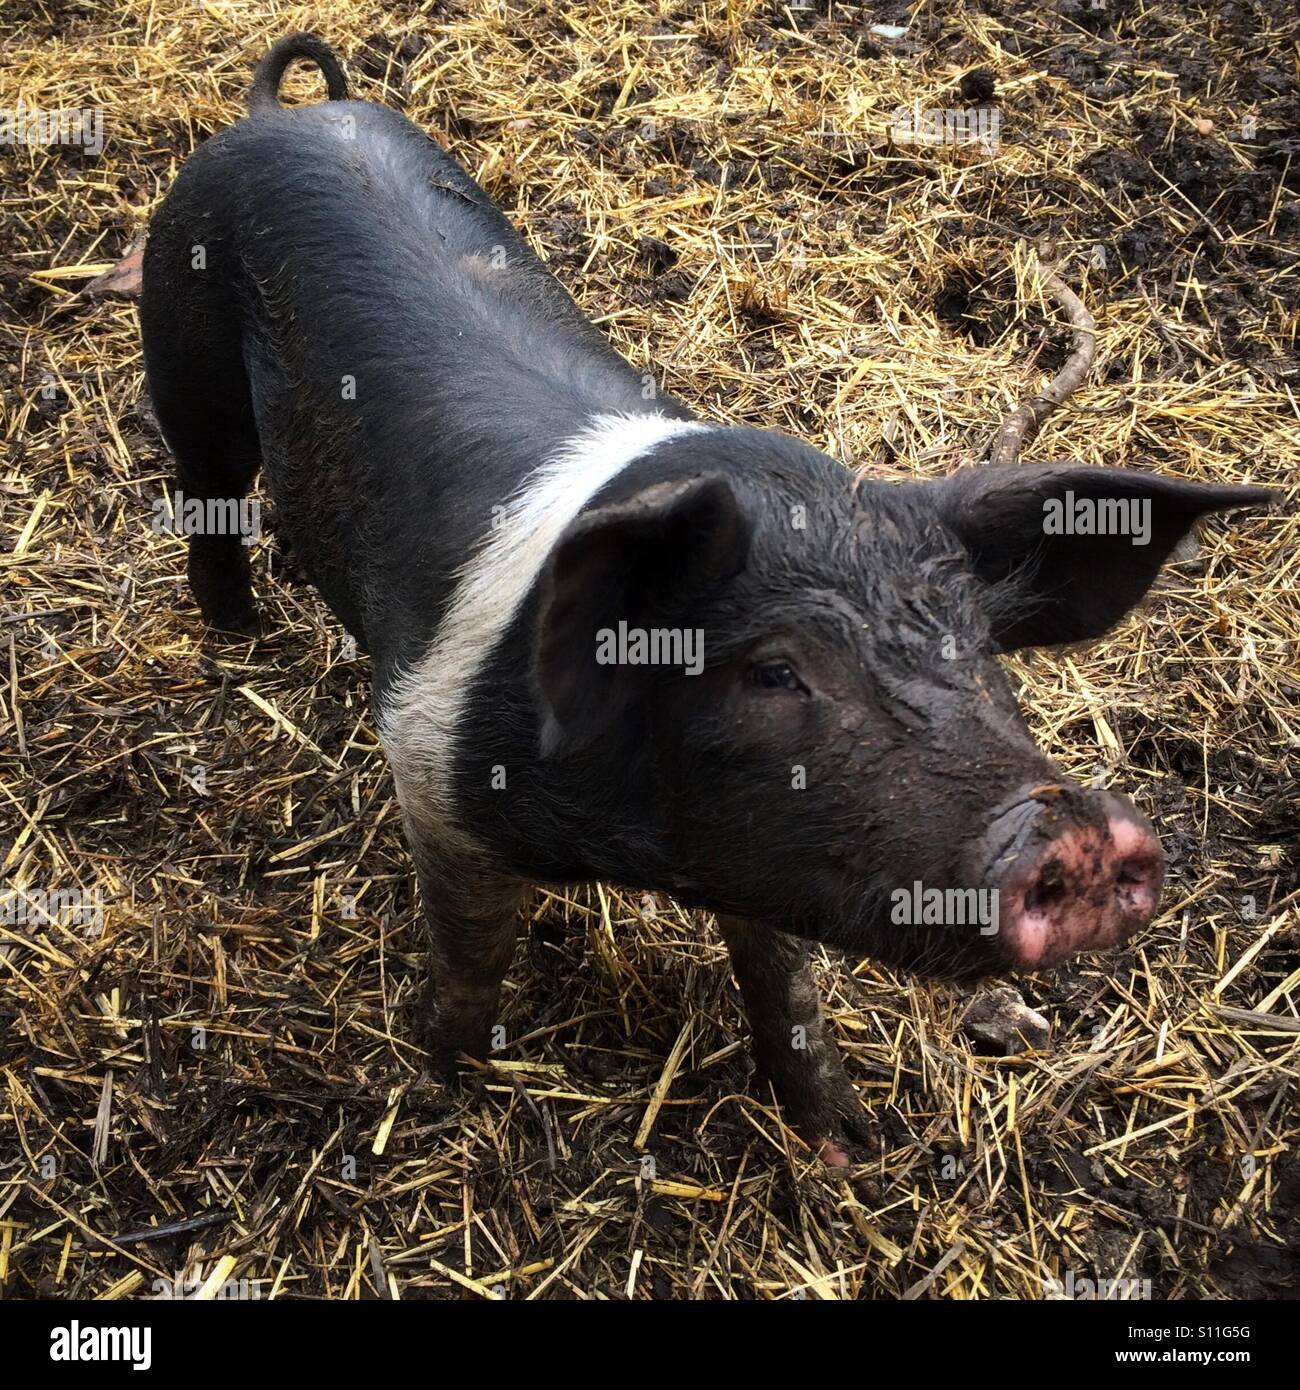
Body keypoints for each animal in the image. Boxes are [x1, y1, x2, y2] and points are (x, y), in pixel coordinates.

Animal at [139, 34, 1270, 1163]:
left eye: (981, 651)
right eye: (772, 671)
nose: (1078, 830)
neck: (639, 849)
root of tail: (278, 114)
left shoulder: (767, 852)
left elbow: (785, 980)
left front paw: (843, 1141)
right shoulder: (428, 760)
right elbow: (473, 954)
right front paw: (442, 1072)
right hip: (182, 346)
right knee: (206, 489)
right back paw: (237, 633)